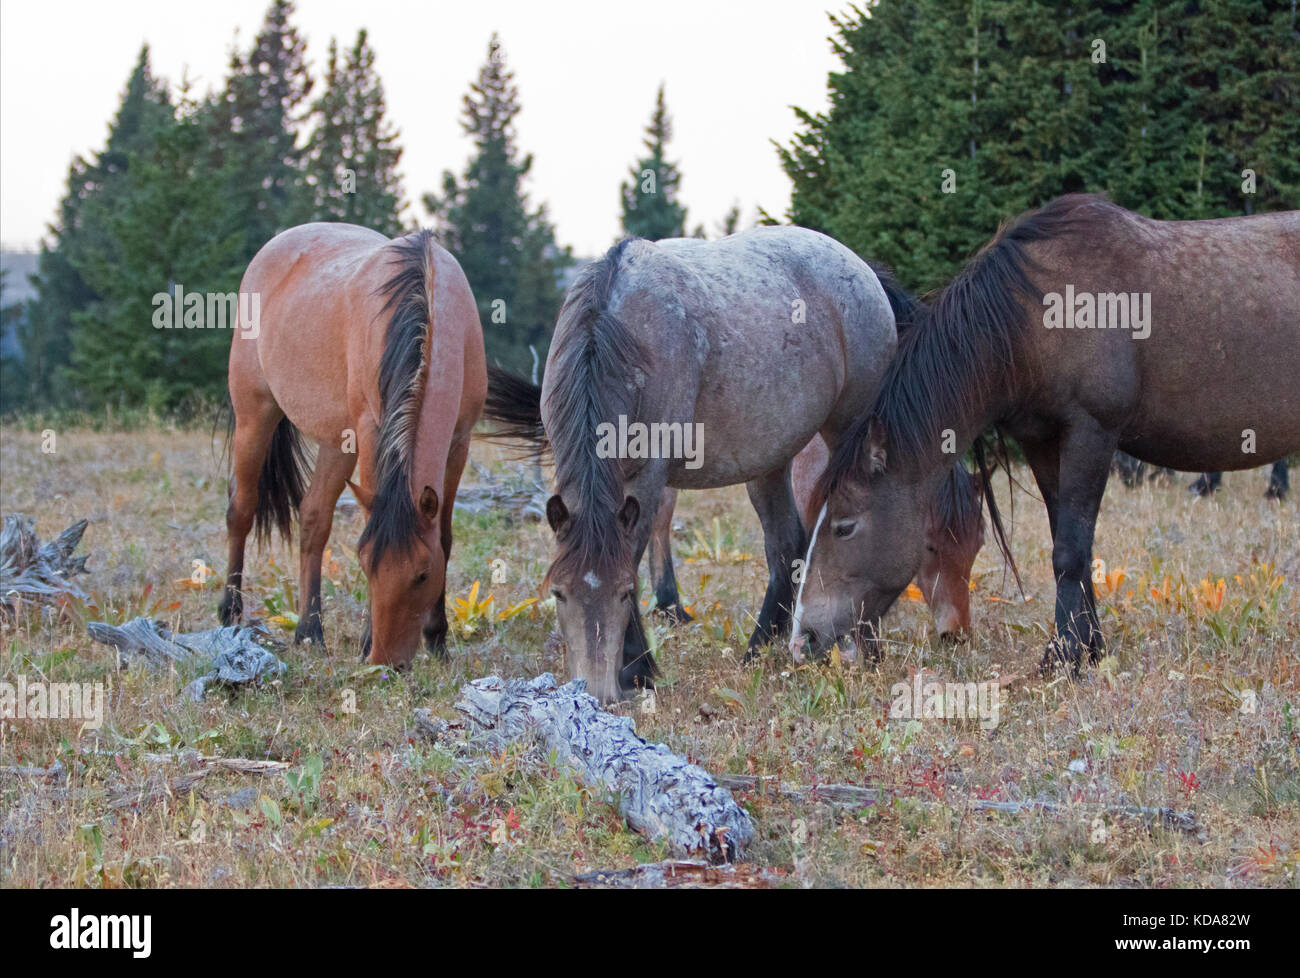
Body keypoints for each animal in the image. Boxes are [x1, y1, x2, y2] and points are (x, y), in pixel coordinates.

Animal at [220, 223, 486, 667]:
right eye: (366, 567)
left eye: (422, 574)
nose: (386, 661)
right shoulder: (371, 432)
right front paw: (367, 639)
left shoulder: (459, 443)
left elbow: (445, 539)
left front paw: (437, 639)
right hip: (255, 415)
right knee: (241, 509)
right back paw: (229, 613)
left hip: (337, 443)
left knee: (313, 520)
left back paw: (310, 632)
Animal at [482, 227, 902, 702]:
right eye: (558, 592)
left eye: (625, 594)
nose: (599, 692)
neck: (616, 330)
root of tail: (863, 269)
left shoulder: (647, 476)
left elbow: (633, 550)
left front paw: (638, 668)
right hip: (770, 461)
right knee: (785, 546)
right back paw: (758, 652)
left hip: (847, 431)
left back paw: (864, 644)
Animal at [792, 195, 1300, 672]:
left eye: (844, 526)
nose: (805, 637)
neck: (1037, 317)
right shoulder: (1041, 440)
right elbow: (1068, 540)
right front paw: (1088, 649)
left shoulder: (1091, 432)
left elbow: (1070, 551)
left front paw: (1064, 656)